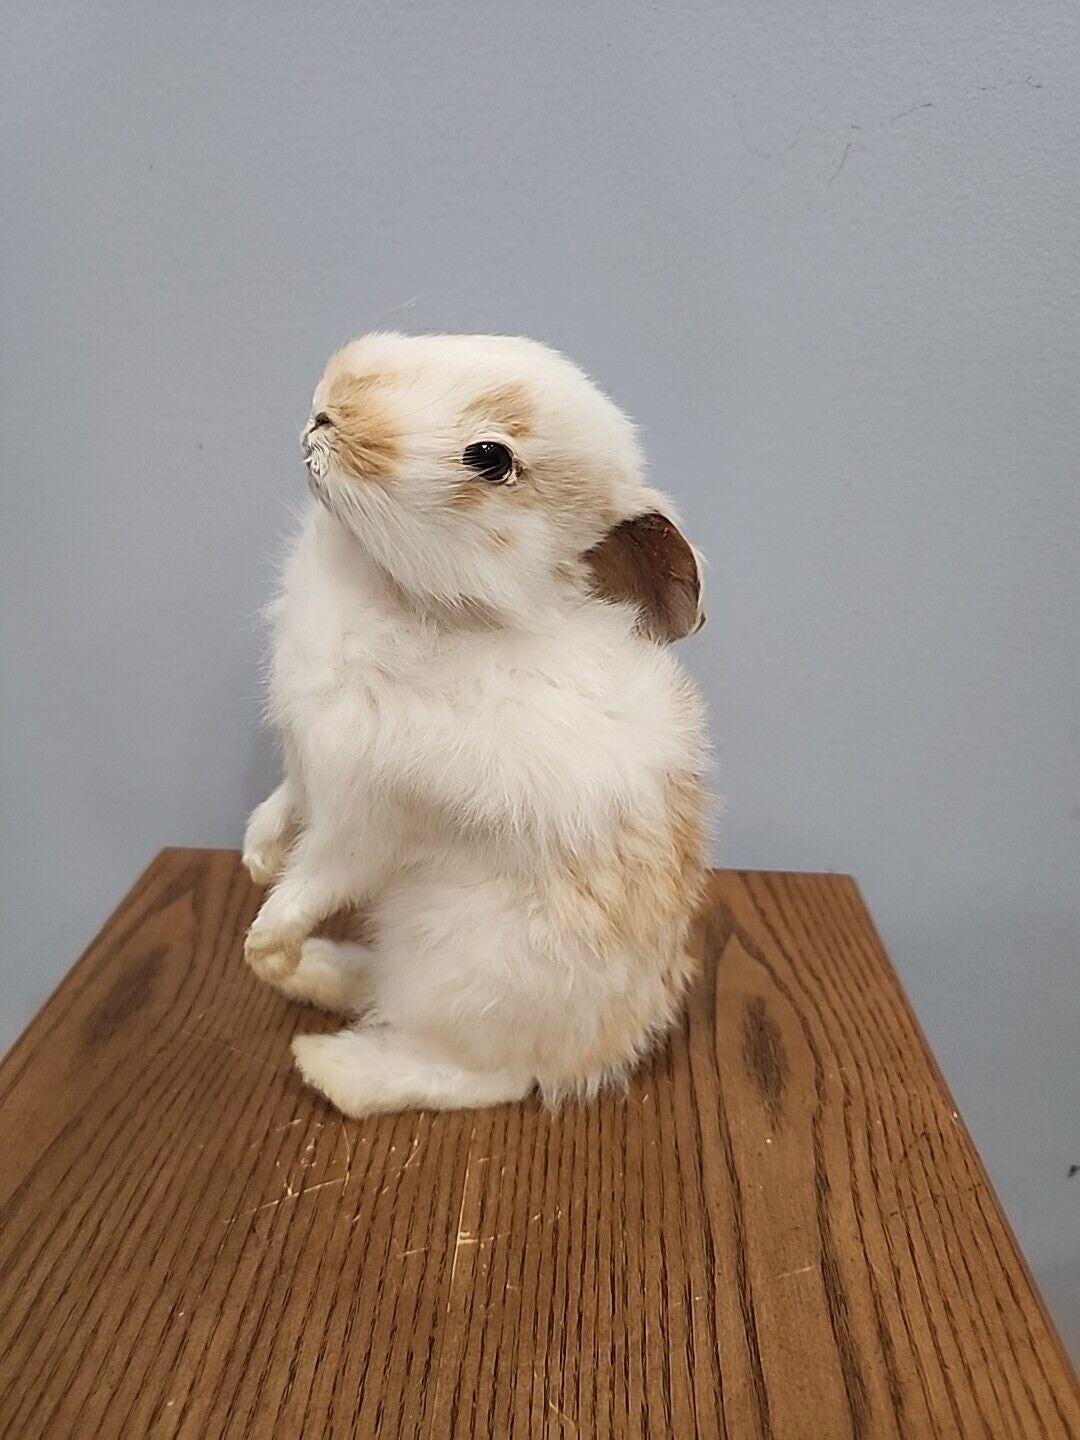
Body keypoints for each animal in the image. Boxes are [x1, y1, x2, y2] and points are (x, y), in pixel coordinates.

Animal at [242, 332, 711, 1118]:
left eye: (489, 458)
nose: (327, 409)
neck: (400, 591)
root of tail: (605, 1050)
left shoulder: (363, 823)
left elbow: (314, 884)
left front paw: (264, 943)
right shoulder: (305, 774)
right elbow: (281, 808)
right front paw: (256, 857)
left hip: (459, 970)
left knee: (484, 1073)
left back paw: (332, 1059)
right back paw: (336, 978)